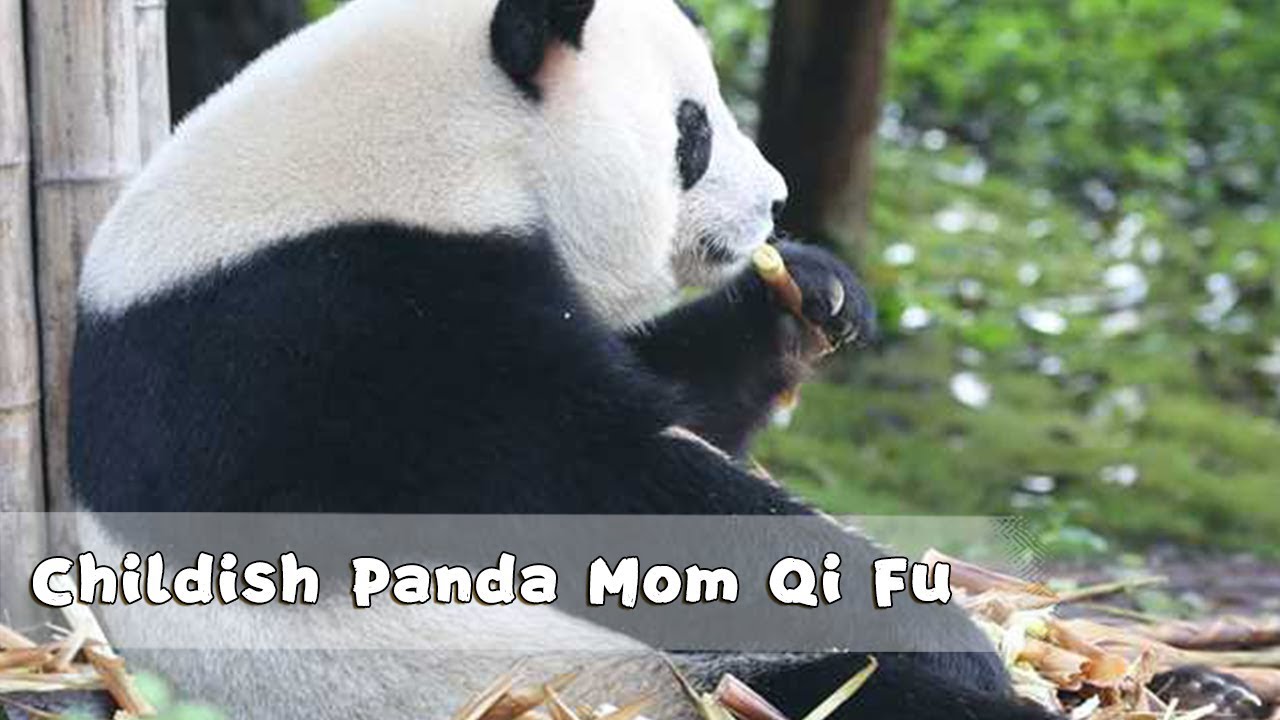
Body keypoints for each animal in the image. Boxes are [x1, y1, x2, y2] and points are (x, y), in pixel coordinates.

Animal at [66, 1, 1069, 719]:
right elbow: (587, 484)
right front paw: (946, 636)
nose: (778, 201)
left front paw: (812, 295)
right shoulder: (327, 331)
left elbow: (677, 403)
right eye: (693, 130)